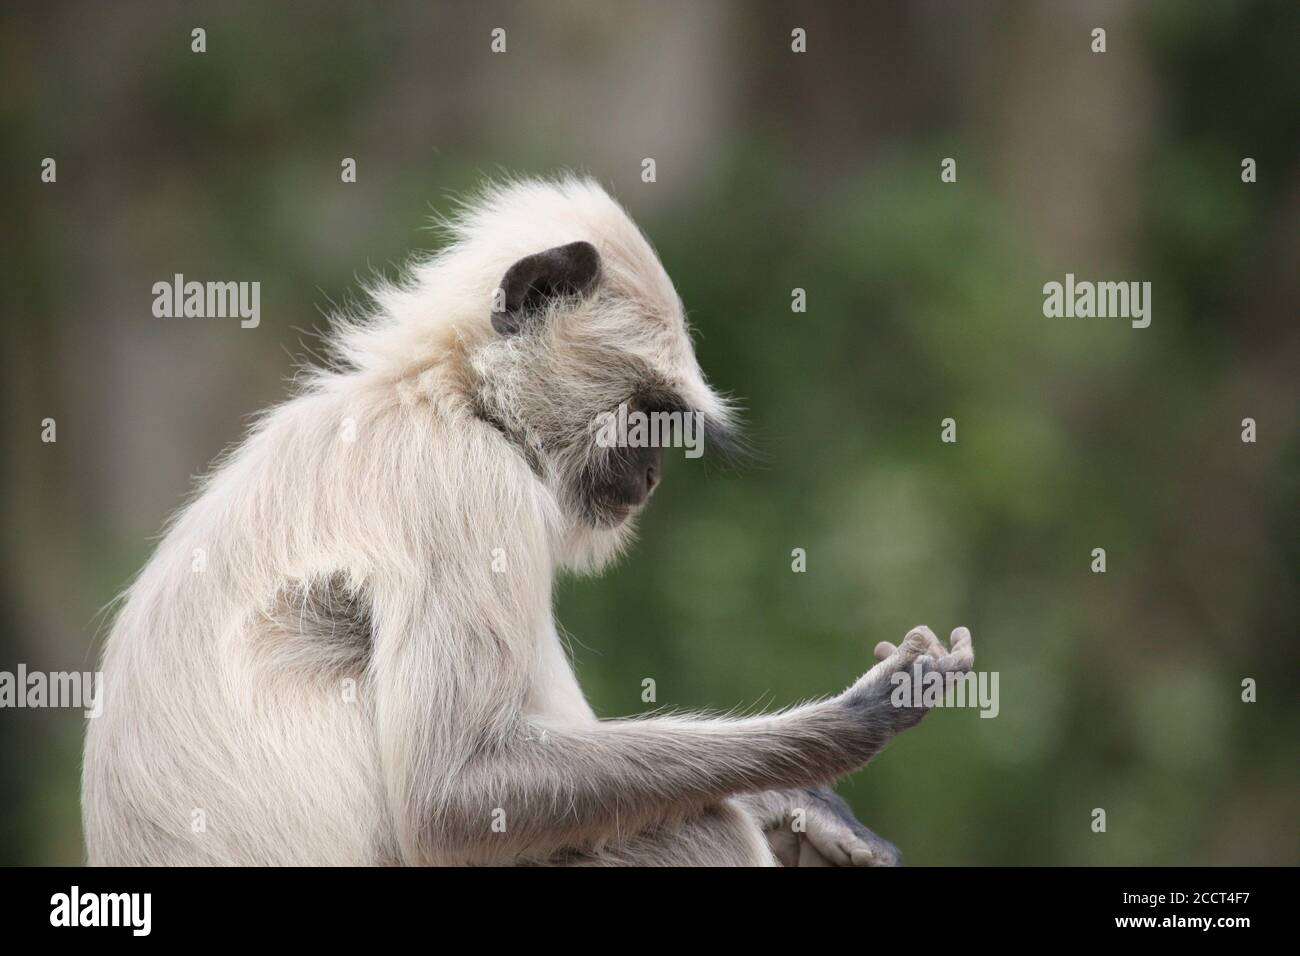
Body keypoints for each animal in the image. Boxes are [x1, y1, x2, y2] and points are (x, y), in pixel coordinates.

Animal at [82, 176, 975, 866]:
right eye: (651, 417)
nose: (653, 475)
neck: (448, 397)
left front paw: (806, 812)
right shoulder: (467, 486)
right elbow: (452, 798)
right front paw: (849, 724)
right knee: (695, 826)